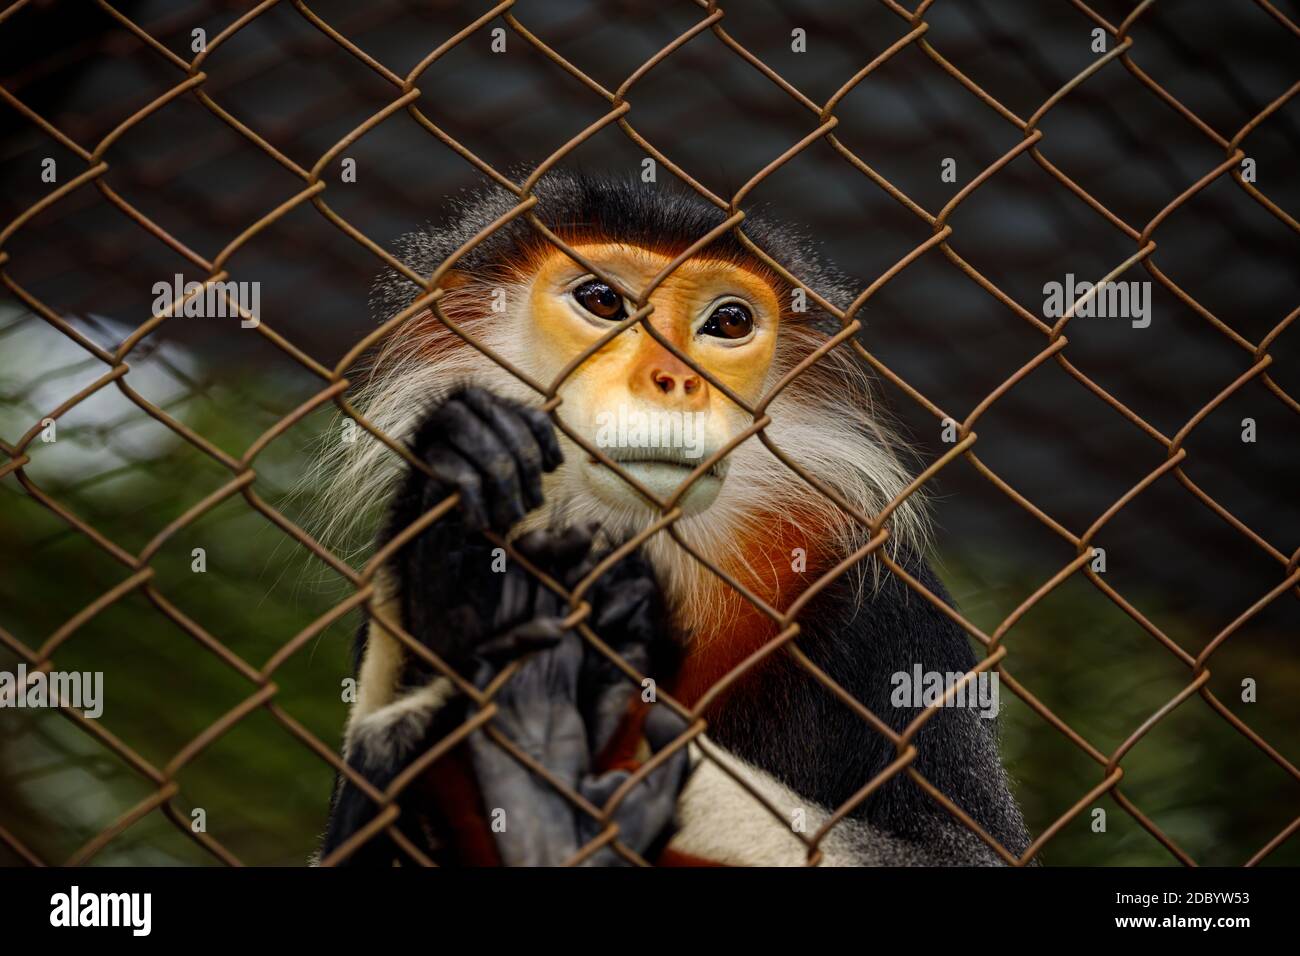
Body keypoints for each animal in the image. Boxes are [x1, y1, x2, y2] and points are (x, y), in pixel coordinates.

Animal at [315, 171, 1033, 866]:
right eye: (602, 301)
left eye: (730, 321)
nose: (678, 380)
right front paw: (451, 530)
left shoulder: (885, 599)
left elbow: (966, 853)